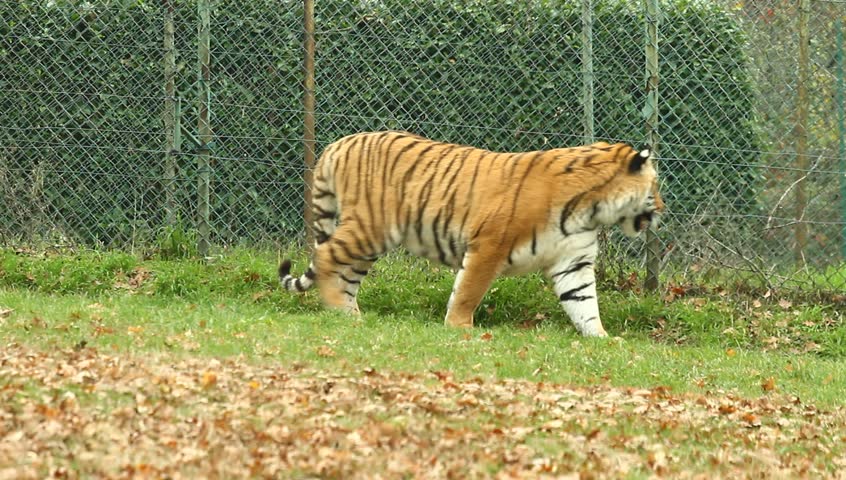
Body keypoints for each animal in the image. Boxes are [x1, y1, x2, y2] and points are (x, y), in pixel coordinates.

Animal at [279, 131, 664, 337]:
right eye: (656, 185)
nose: (662, 207)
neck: (592, 209)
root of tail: (338, 144)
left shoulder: (574, 262)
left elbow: (584, 303)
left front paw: (602, 338)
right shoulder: (489, 245)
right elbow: (468, 291)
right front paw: (460, 327)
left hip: (367, 240)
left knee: (344, 274)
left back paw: (350, 316)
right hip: (369, 228)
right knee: (325, 258)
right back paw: (337, 310)